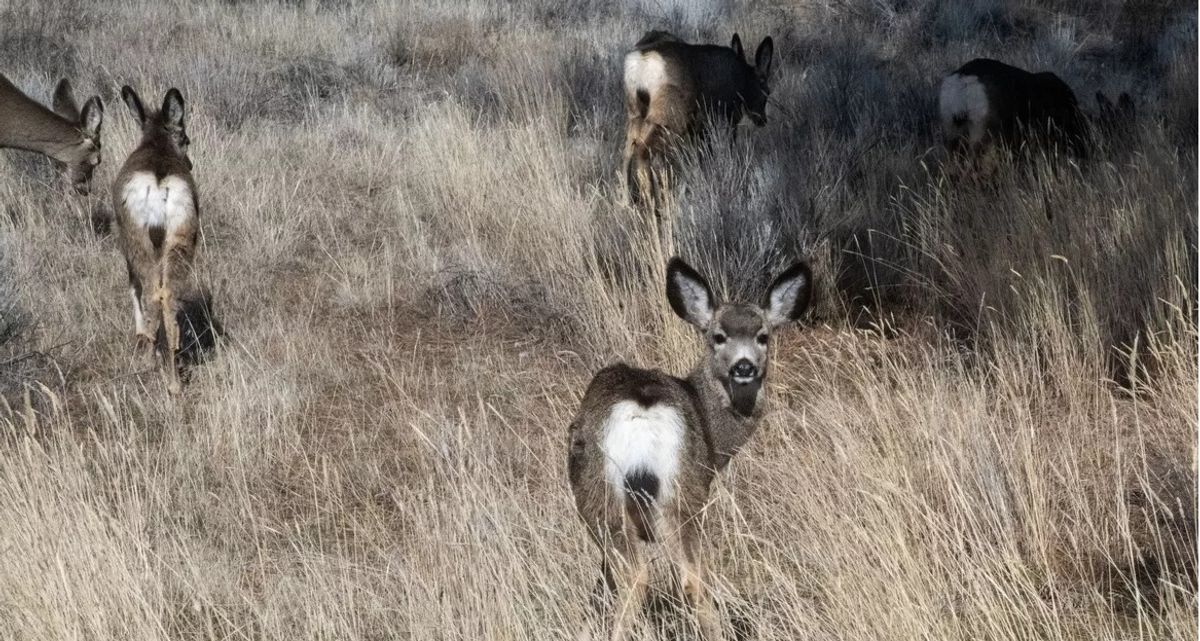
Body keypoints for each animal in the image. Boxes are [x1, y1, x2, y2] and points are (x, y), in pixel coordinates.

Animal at [112, 84, 198, 394]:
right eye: (185, 138)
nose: (190, 164)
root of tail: (160, 184)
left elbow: (132, 288)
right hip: (182, 240)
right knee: (168, 298)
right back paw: (174, 383)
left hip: (139, 242)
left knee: (150, 293)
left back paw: (149, 360)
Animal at [567, 257, 811, 641]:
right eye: (718, 336)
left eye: (763, 336)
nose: (744, 366)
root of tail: (643, 411)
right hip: (676, 493)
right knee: (682, 578)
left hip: (609, 496)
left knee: (640, 576)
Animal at [623, 31, 774, 214]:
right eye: (766, 91)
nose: (762, 120)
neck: (742, 81)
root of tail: (641, 61)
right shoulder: (723, 119)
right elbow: (722, 152)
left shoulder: (700, 129)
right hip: (669, 117)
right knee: (642, 150)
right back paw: (653, 205)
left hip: (635, 114)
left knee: (627, 152)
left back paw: (627, 202)